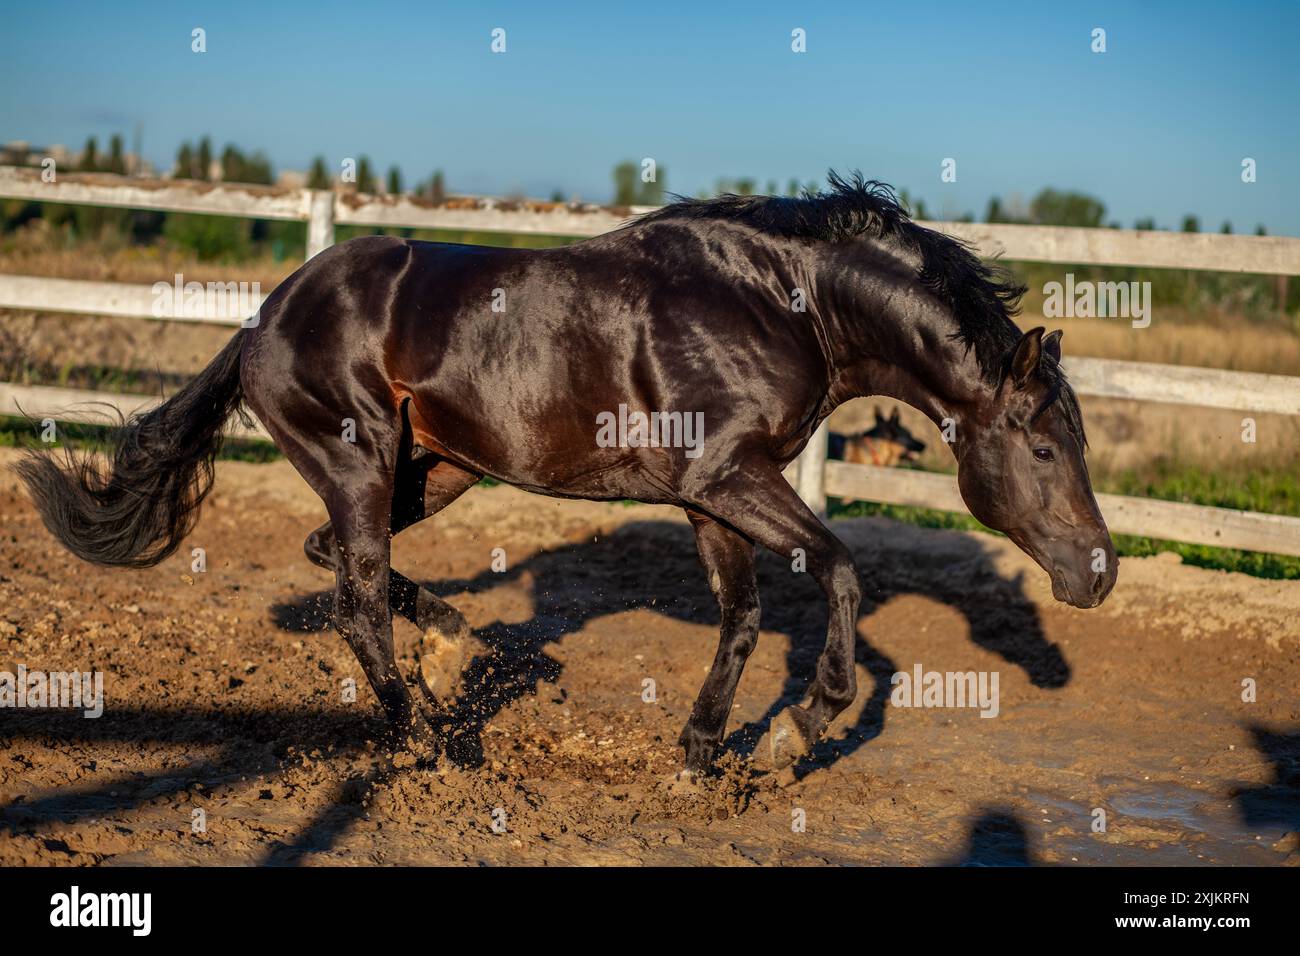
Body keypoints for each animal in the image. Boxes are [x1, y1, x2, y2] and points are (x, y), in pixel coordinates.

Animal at [15, 172, 1116, 777]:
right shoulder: (726, 475)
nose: (1098, 573)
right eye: (1044, 447)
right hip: (361, 460)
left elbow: (744, 615)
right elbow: (840, 571)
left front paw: (701, 754)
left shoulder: (710, 494)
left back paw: (458, 647)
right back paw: (427, 739)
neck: (781, 302)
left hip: (437, 469)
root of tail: (262, 317)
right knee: (355, 598)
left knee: (332, 553)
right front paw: (800, 729)